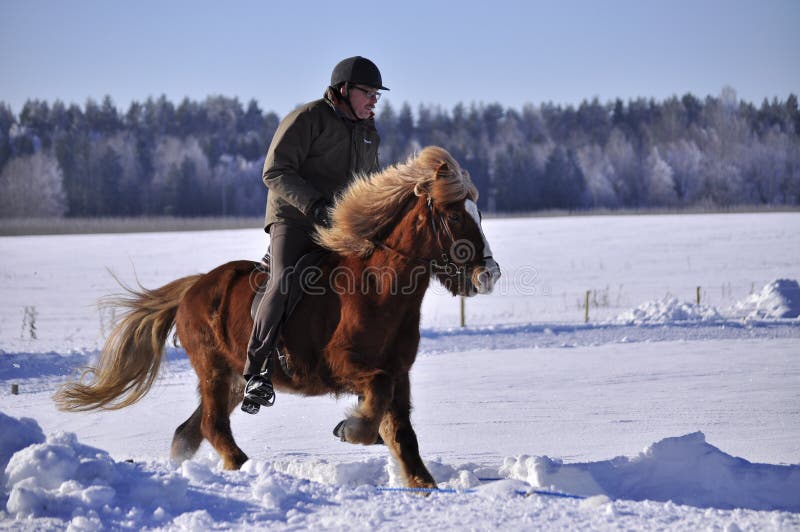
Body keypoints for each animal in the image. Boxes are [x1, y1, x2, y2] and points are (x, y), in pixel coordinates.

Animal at [54, 146, 502, 490]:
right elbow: (376, 398)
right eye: (457, 217)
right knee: (213, 426)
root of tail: (194, 287)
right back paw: (242, 465)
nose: (490, 274)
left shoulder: (399, 373)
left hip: (232, 378)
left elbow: (402, 432)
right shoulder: (345, 366)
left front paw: (422, 483)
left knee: (190, 430)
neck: (377, 289)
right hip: (213, 370)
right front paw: (352, 429)